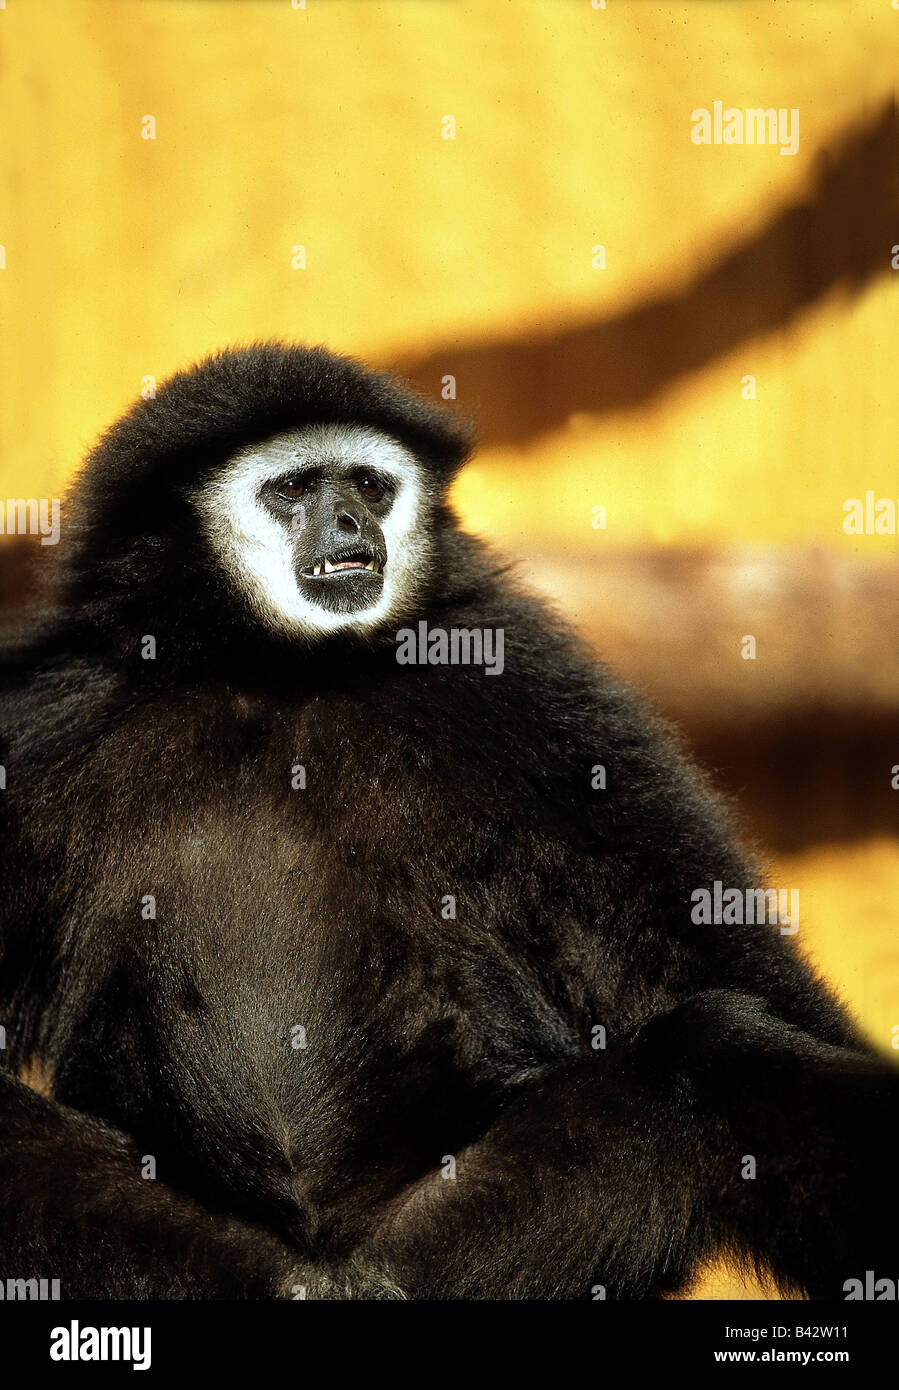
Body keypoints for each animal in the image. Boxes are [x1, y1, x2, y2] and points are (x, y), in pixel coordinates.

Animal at [0, 341, 895, 1300]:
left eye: (368, 484)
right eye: (294, 488)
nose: (352, 524)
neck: (276, 674)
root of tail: (332, 1275)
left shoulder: (523, 685)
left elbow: (716, 965)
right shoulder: (54, 709)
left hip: (479, 1250)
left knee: (712, 1052)